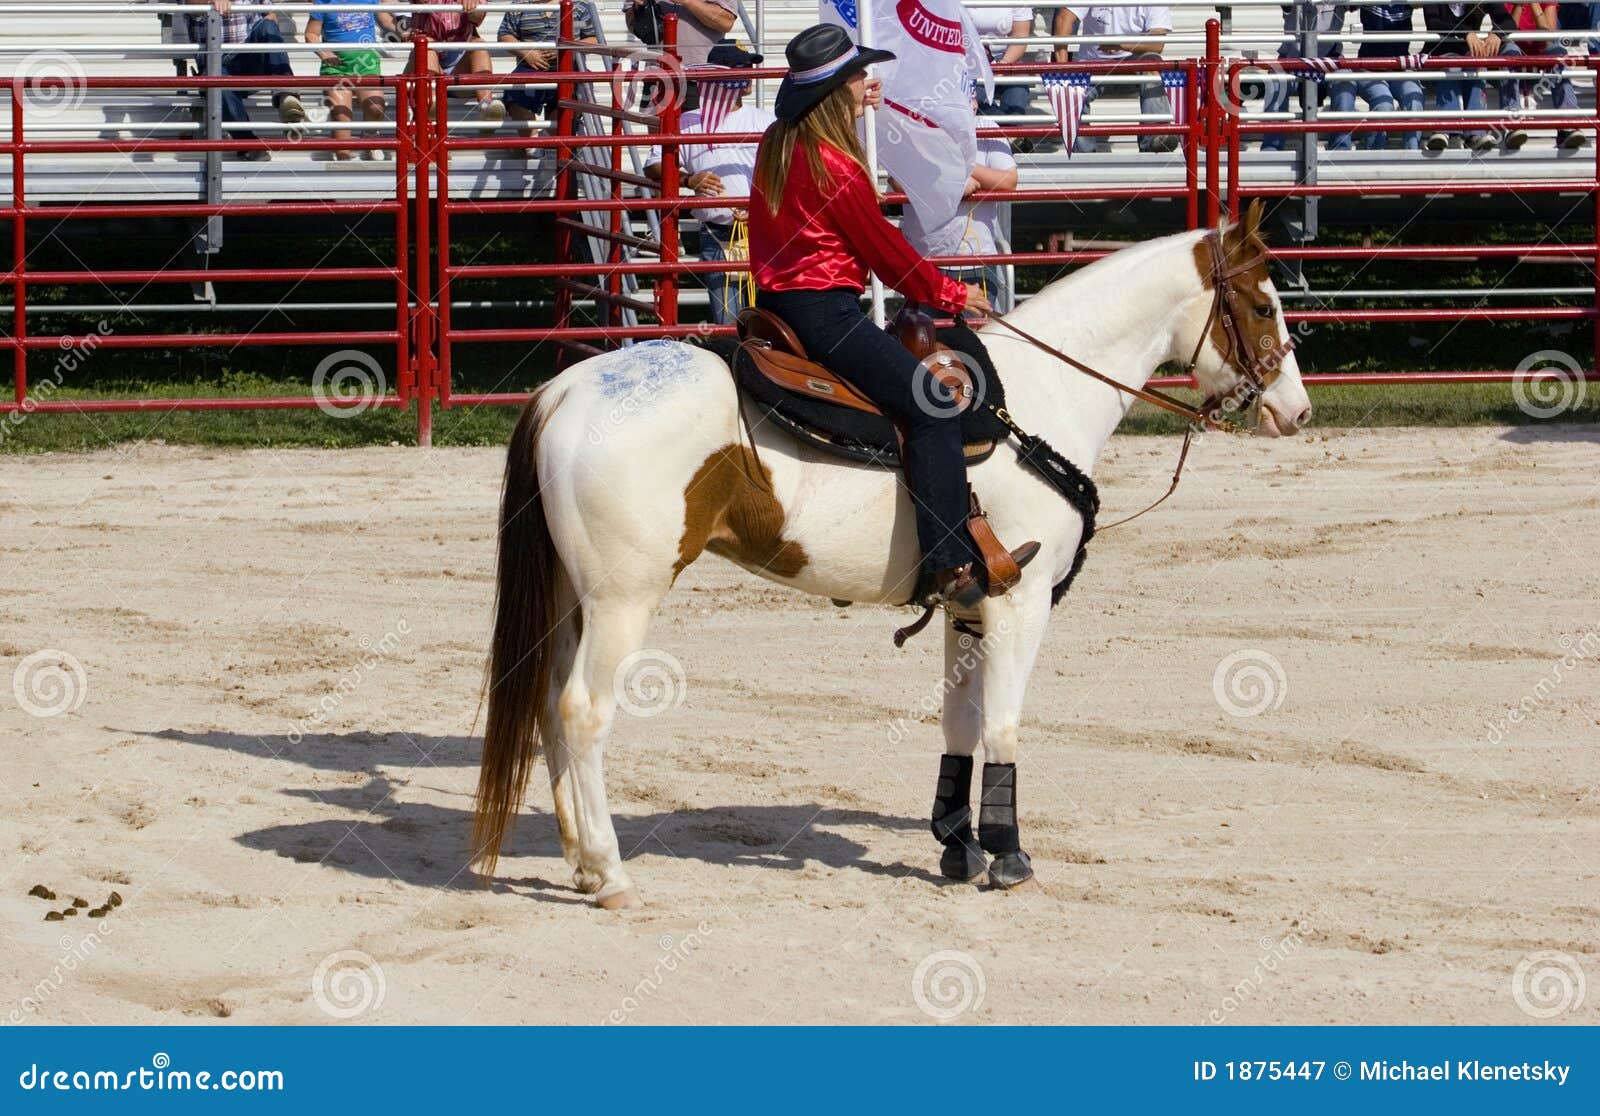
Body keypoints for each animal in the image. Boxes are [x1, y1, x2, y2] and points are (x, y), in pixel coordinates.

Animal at [473, 203, 1313, 909]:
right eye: (1264, 304)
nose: (1297, 411)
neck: (1035, 399)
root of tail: (564, 391)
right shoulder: (1021, 601)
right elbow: (1004, 725)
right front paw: (1008, 856)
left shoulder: (968, 604)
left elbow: (959, 725)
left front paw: (956, 847)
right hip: (623, 599)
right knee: (583, 712)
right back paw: (610, 872)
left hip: (572, 598)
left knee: (547, 705)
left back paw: (581, 862)